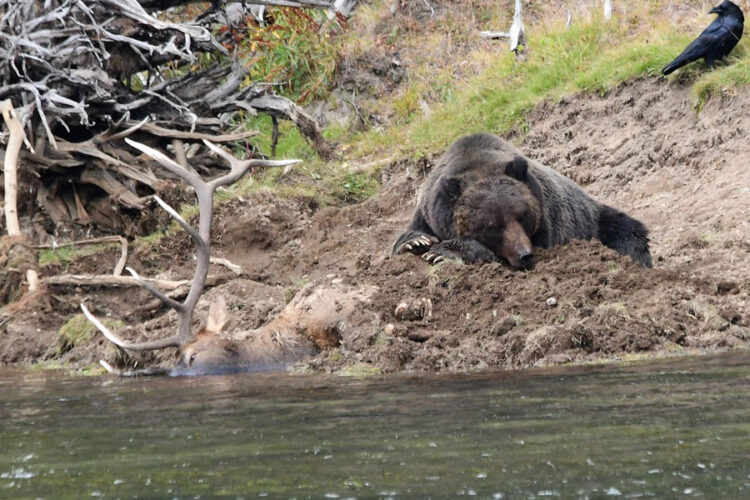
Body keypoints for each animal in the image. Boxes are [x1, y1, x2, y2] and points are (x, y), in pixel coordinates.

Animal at [392, 133, 652, 268]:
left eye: (522, 216)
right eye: (492, 225)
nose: (524, 254)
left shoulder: (547, 223)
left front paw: (442, 251)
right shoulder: (430, 211)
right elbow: (410, 236)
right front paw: (416, 242)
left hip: (594, 219)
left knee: (628, 231)